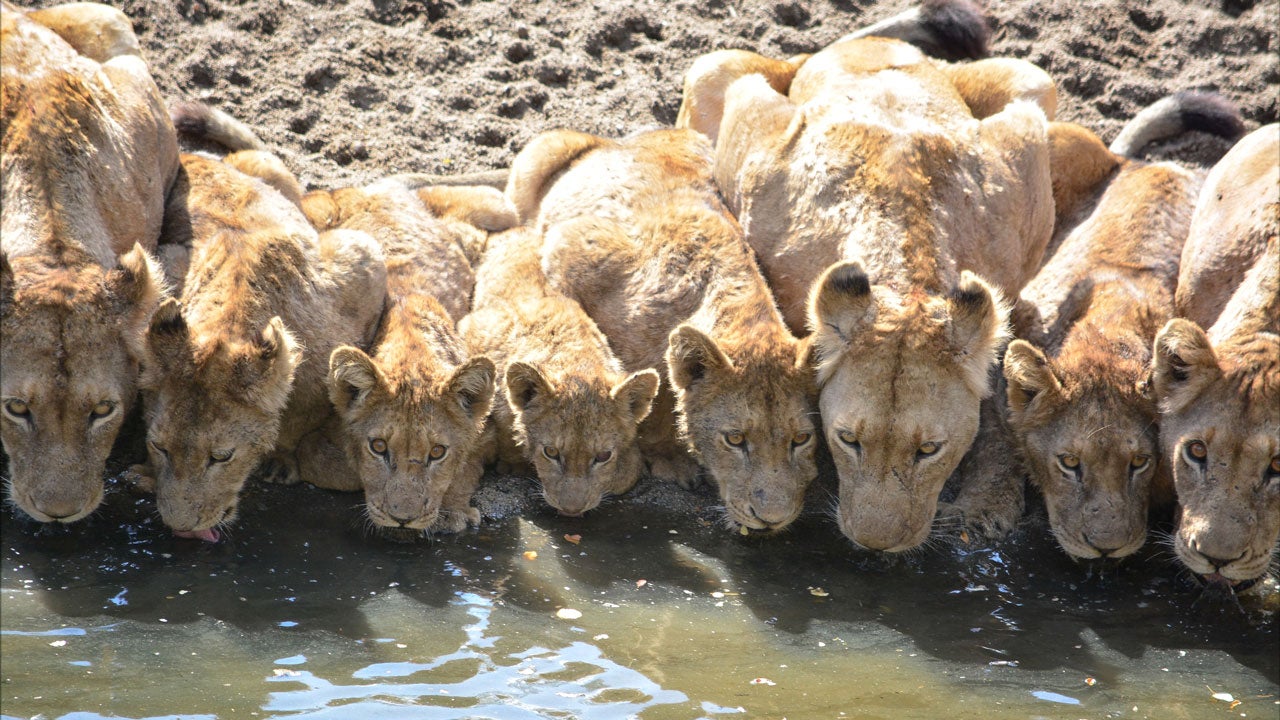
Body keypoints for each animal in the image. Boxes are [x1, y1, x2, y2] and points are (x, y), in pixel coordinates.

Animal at [135, 152, 387, 541]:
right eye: (159, 446)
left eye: (221, 457)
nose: (182, 528)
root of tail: (195, 154)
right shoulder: (167, 264)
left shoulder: (363, 261)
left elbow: (304, 411)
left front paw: (280, 458)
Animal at [300, 181, 505, 535]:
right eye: (379, 447)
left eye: (437, 452)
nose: (402, 519)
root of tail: (368, 187)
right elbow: (327, 464)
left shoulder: (488, 431)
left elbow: (465, 468)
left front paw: (451, 511)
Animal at [460, 227, 660, 517]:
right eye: (551, 452)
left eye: (602, 456)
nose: (572, 510)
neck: (574, 357)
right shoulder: (471, 331)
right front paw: (512, 459)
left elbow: (628, 471)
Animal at [506, 128, 818, 535]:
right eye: (735, 439)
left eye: (801, 439)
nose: (772, 520)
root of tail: (620, 138)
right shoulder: (569, 257)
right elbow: (652, 403)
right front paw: (668, 457)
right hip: (543, 150)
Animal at [1003, 93, 1244, 563]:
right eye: (1070, 463)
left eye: (1138, 463)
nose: (1105, 550)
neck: (1104, 334)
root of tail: (1142, 162)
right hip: (1052, 139)